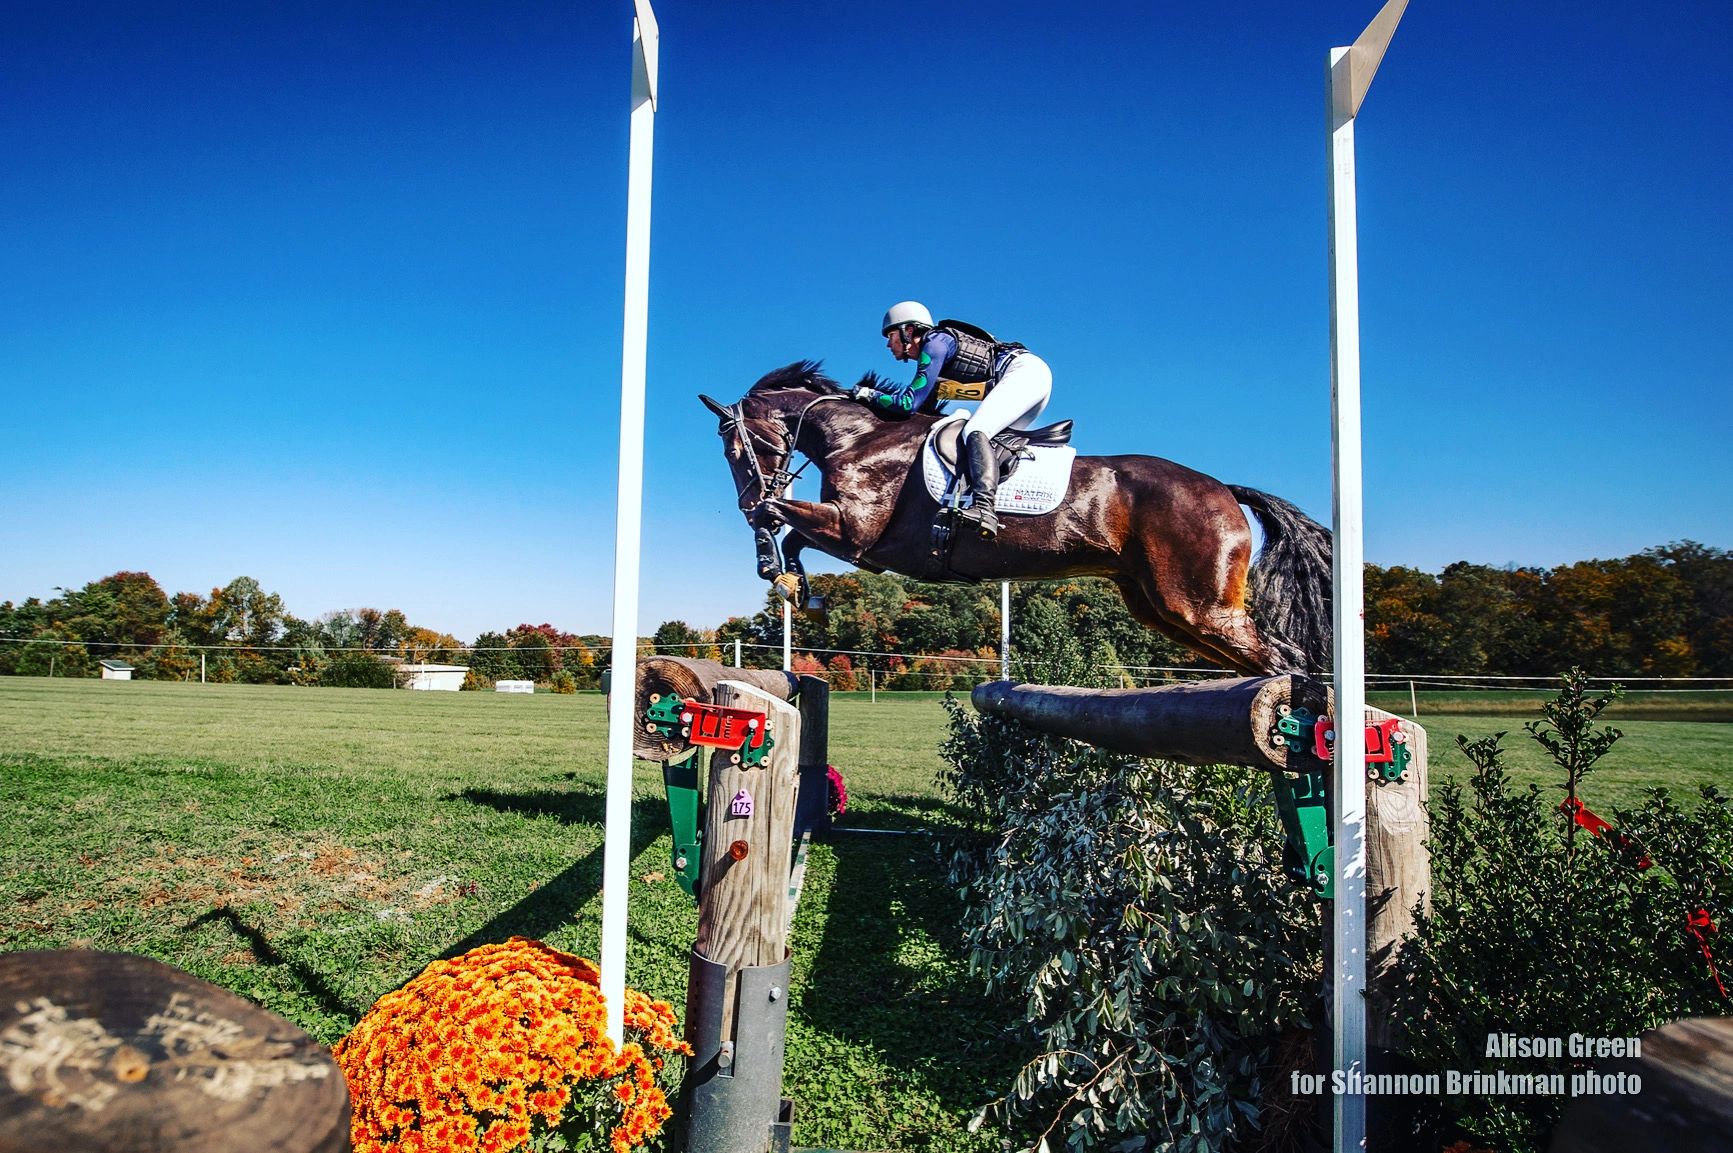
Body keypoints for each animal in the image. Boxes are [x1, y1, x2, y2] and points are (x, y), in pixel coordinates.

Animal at [700, 361, 1333, 676]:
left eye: (734, 448)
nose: (744, 501)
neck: (860, 437)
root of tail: (1223, 488)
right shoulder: (854, 539)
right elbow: (793, 537)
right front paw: (797, 588)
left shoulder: (858, 534)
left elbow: (784, 520)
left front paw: (772, 563)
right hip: (1161, 609)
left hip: (1200, 606)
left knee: (1286, 662)